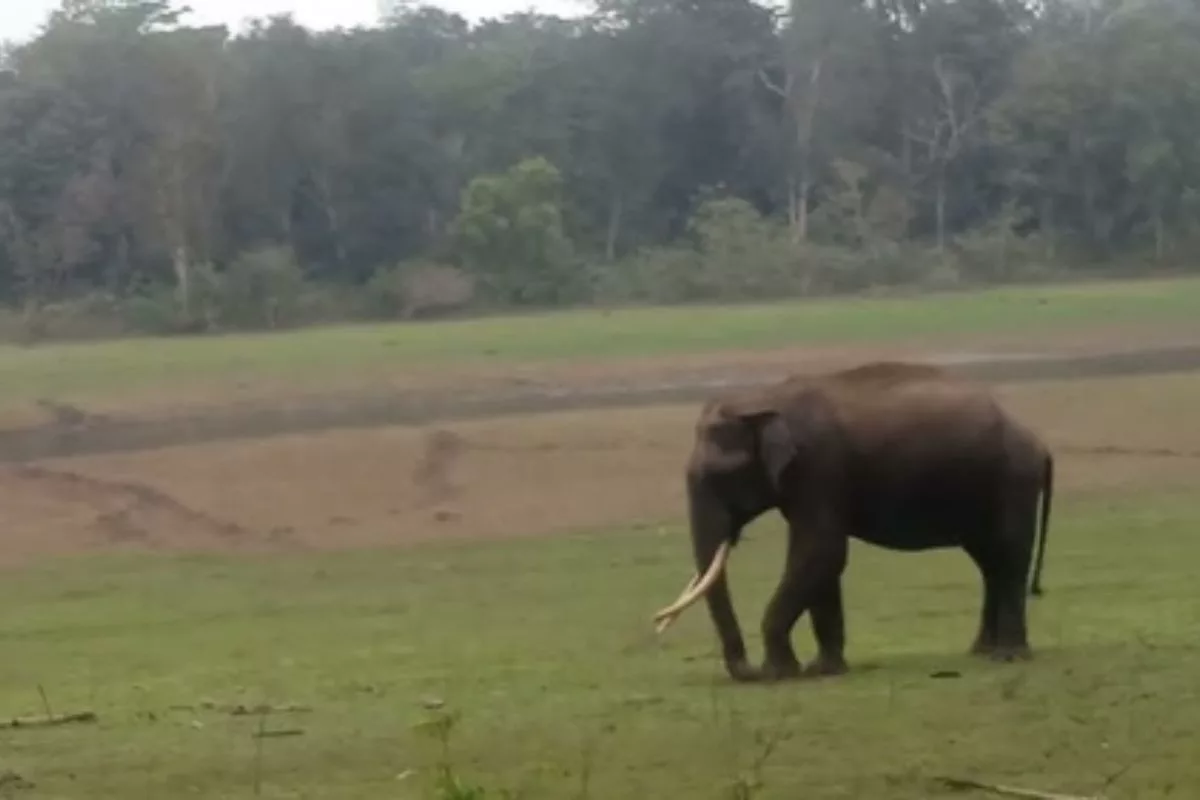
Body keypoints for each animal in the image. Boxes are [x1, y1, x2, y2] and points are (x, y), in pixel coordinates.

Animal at [652, 360, 1054, 683]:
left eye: (722, 476)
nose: (747, 671)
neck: (764, 399)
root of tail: (1037, 441)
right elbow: (820, 560)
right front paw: (823, 669)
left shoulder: (818, 465)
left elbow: (820, 551)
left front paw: (780, 673)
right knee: (990, 562)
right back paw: (981, 651)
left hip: (1012, 480)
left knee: (1009, 556)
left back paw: (1008, 656)